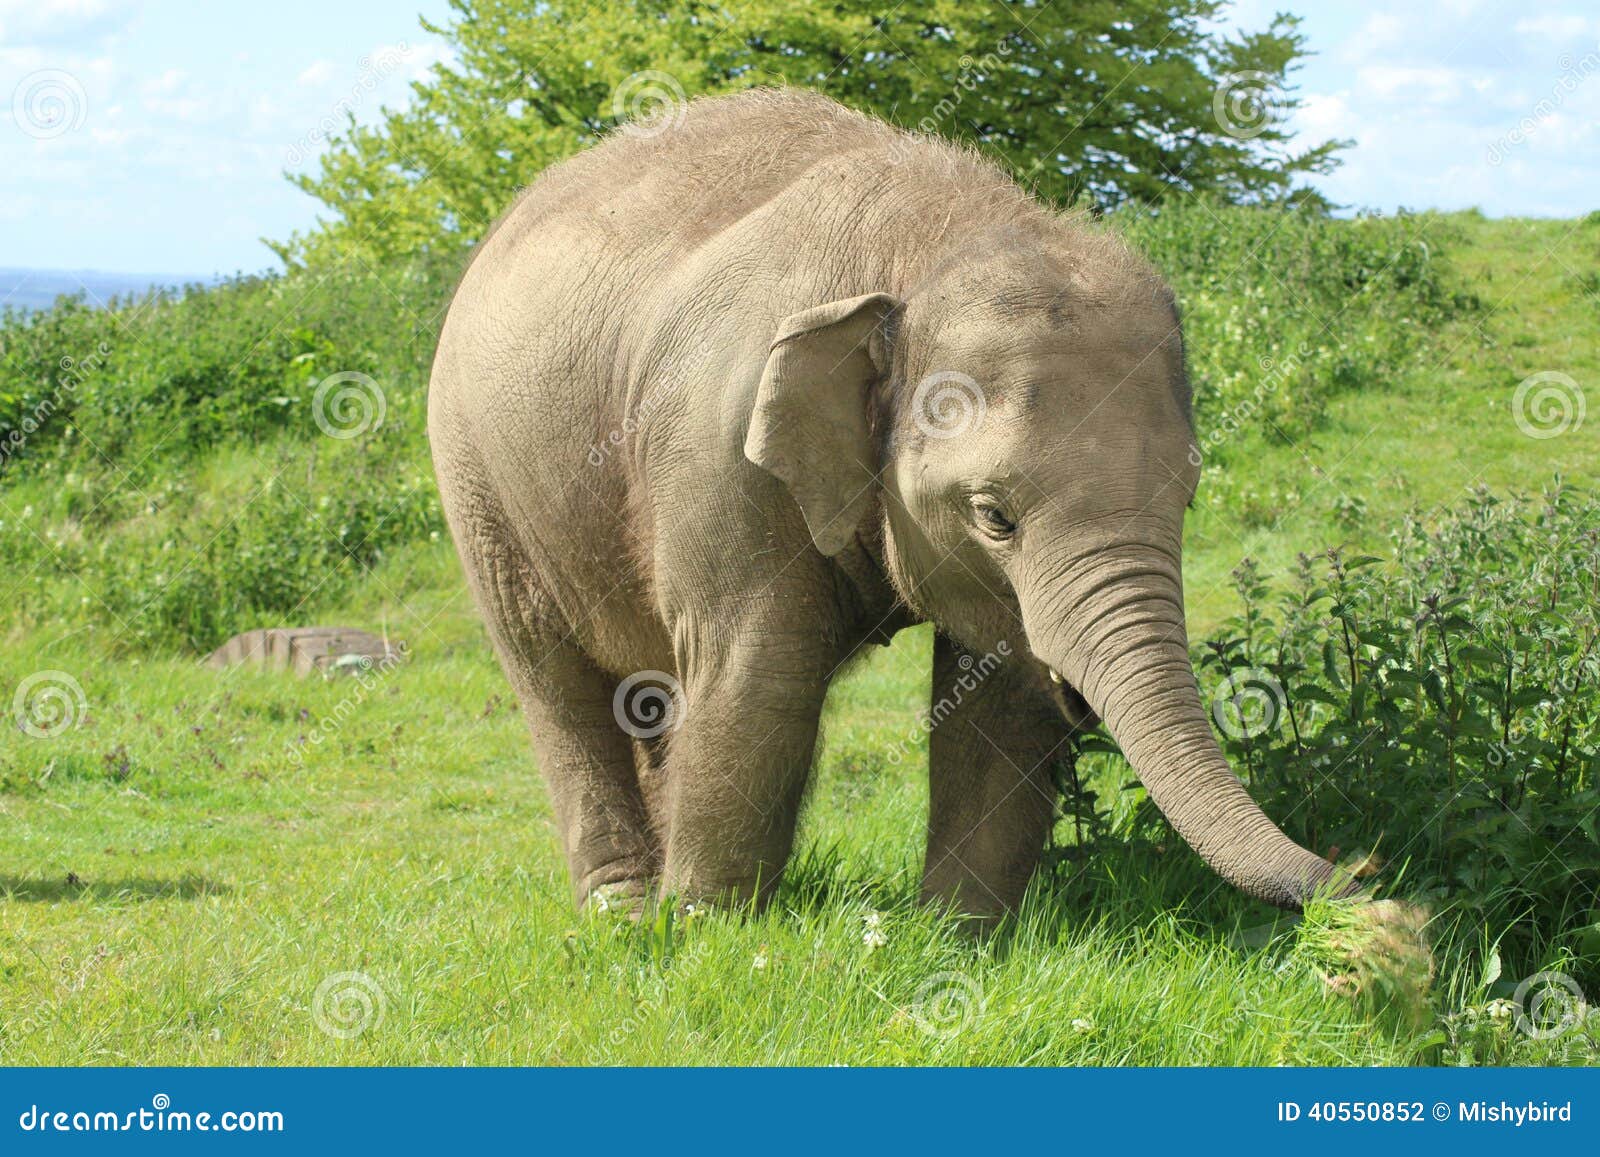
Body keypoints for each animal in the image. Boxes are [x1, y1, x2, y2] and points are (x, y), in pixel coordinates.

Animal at [428, 88, 1355, 920]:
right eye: (995, 516)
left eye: (1188, 499)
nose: (1357, 877)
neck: (929, 241)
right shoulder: (718, 450)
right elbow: (757, 671)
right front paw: (704, 932)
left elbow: (998, 691)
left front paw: (954, 938)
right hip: (475, 478)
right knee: (555, 680)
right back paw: (622, 914)